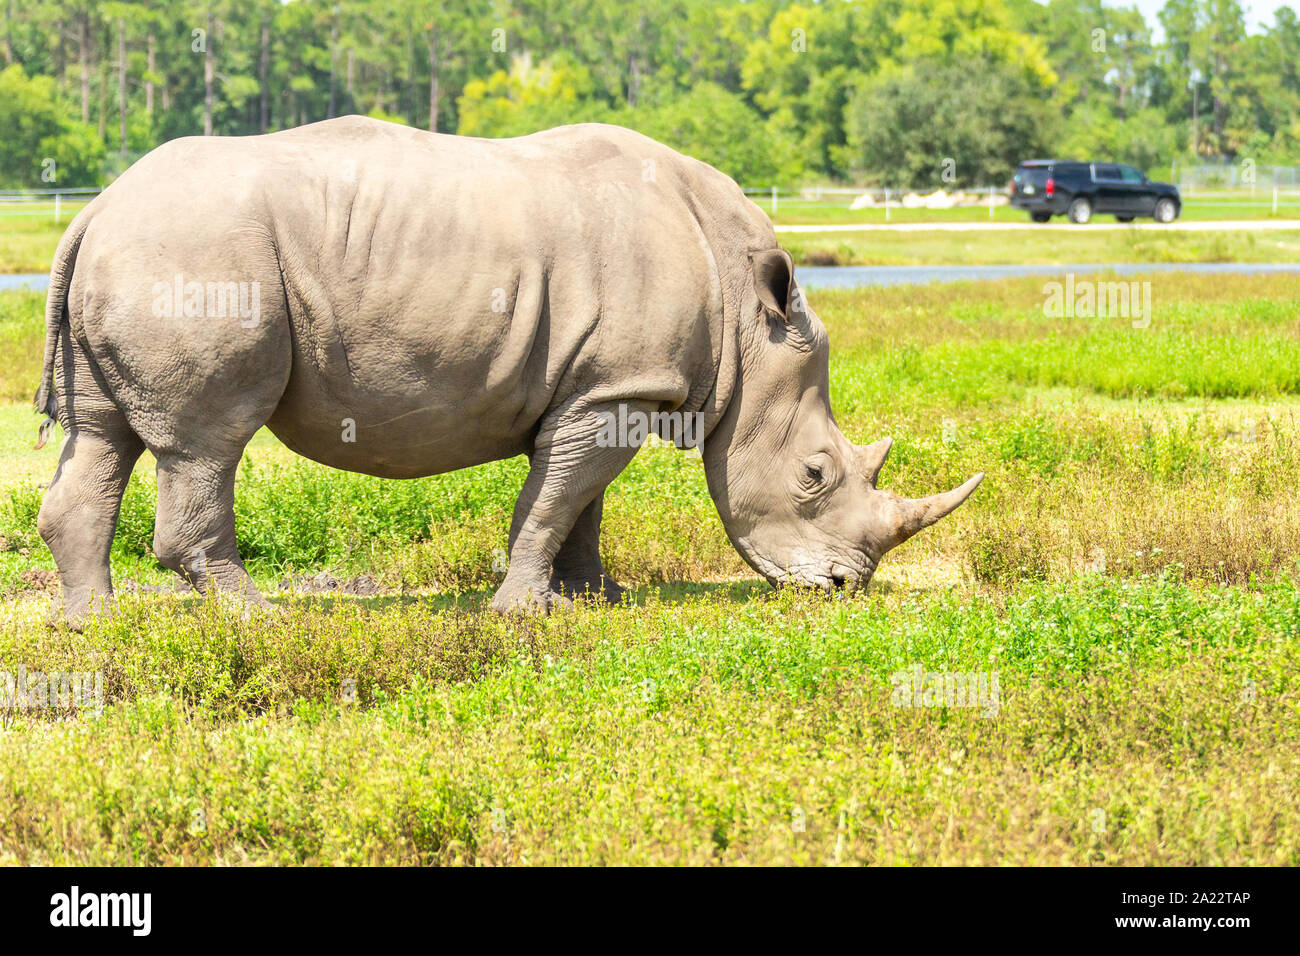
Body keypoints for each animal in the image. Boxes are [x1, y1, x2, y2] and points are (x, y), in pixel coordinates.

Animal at [33, 116, 981, 625]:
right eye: (814, 475)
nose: (844, 587)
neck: (749, 320)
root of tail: (96, 208)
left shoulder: (608, 382)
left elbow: (581, 501)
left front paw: (598, 598)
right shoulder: (619, 384)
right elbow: (554, 500)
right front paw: (528, 612)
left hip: (141, 253)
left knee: (103, 437)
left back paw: (94, 628)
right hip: (195, 261)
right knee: (207, 442)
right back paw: (259, 620)